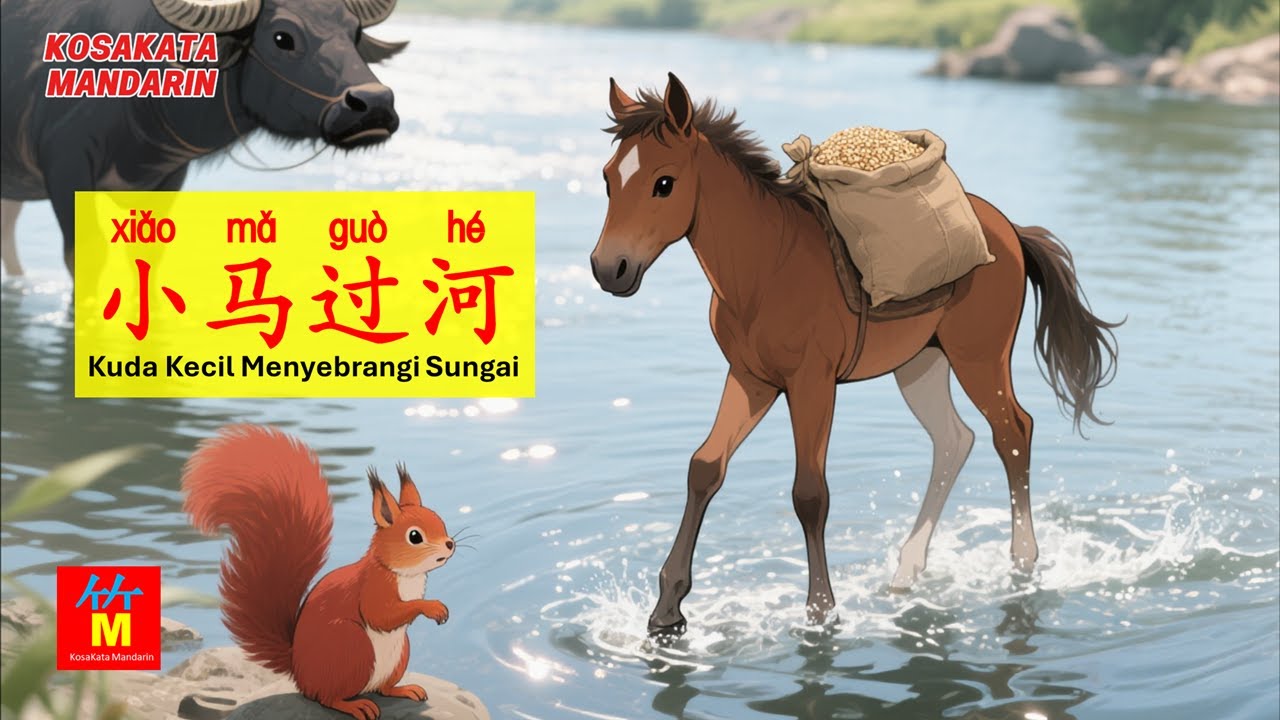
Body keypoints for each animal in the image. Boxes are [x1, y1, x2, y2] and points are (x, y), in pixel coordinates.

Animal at [589, 73, 1119, 637]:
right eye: (607, 179)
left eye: (664, 183)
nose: (609, 269)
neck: (767, 266)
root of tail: (1011, 231)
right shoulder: (752, 378)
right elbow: (704, 467)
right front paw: (666, 612)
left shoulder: (812, 383)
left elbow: (809, 493)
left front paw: (821, 612)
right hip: (921, 363)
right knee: (955, 439)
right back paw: (907, 572)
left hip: (978, 357)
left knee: (1012, 431)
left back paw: (1021, 564)